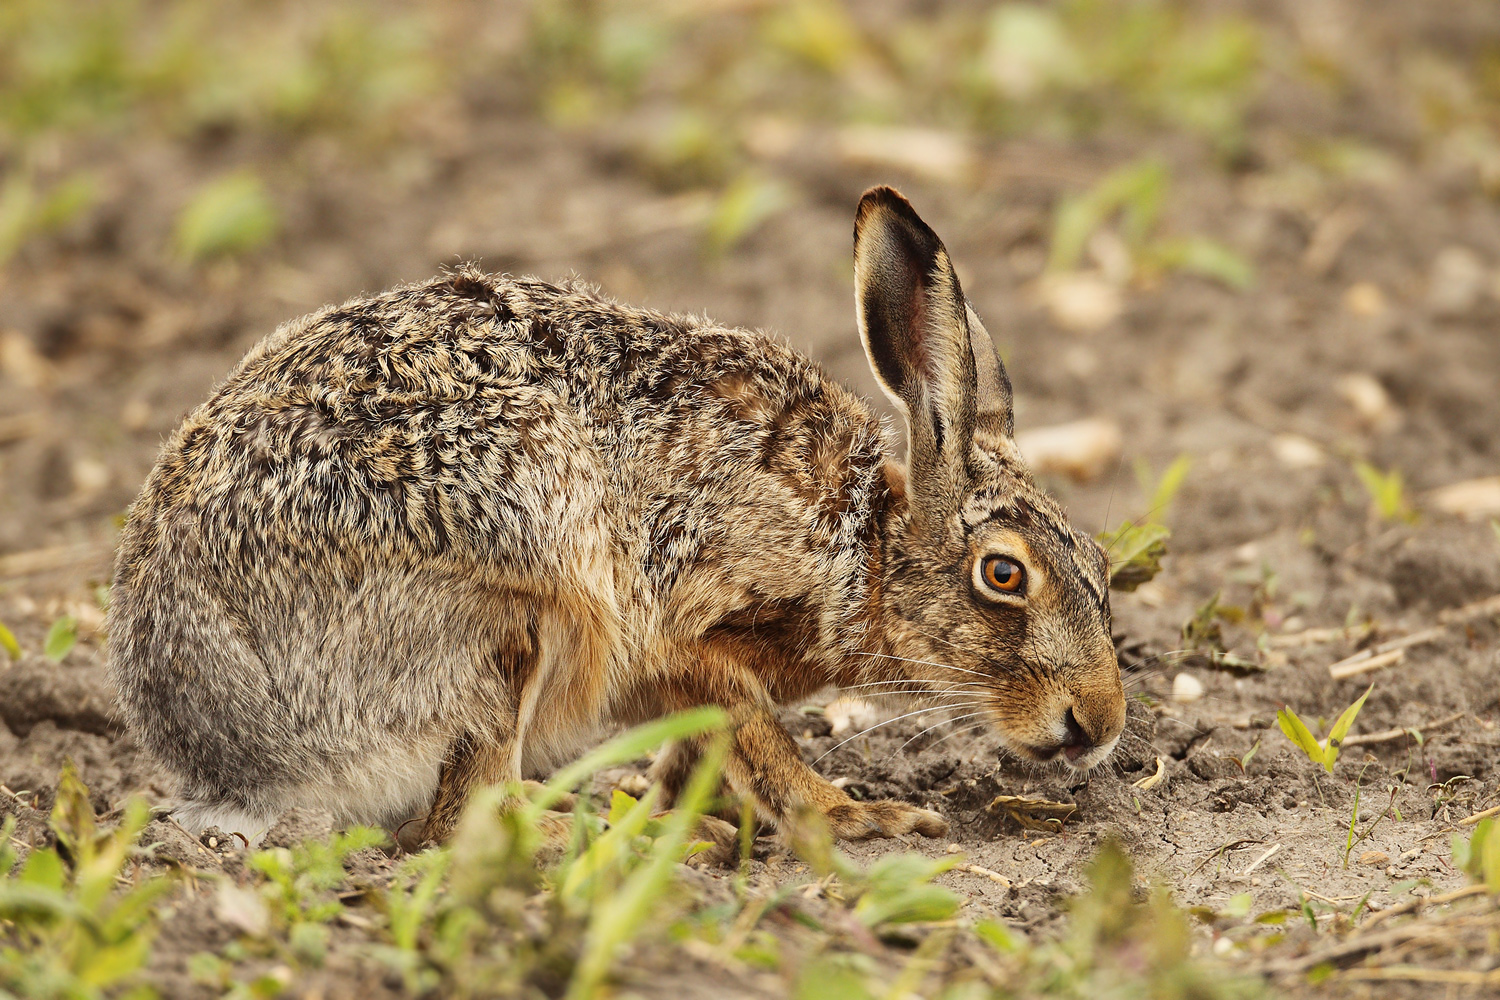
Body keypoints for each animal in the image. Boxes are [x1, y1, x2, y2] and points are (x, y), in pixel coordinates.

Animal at [108, 186, 1126, 847]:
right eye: (1004, 574)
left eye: (1101, 565)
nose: (1099, 723)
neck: (864, 548)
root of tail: (235, 760)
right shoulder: (689, 629)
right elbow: (756, 730)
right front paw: (852, 816)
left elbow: (705, 749)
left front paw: (688, 806)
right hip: (509, 616)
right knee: (463, 820)